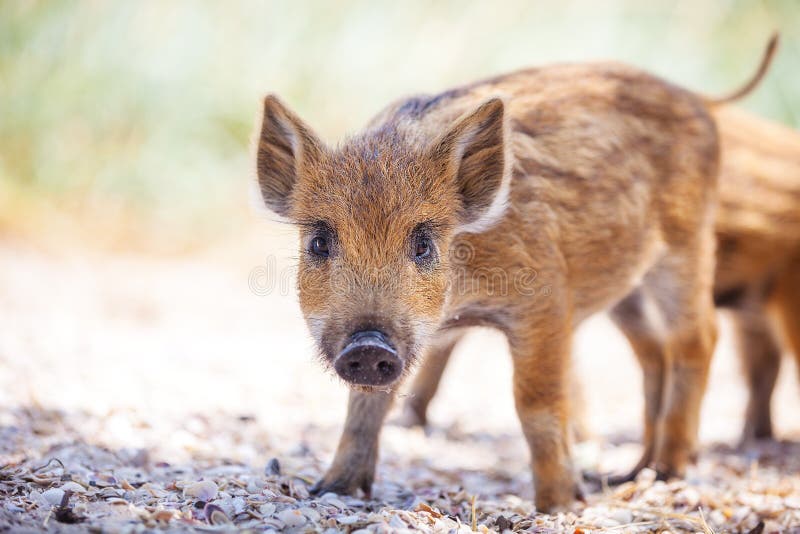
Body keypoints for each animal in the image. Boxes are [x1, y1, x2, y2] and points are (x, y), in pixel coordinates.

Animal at [254, 37, 775, 511]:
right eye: (319, 242)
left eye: (423, 243)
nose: (367, 346)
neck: (461, 301)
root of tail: (695, 97)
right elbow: (366, 403)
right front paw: (329, 490)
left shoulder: (545, 301)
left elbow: (535, 405)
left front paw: (559, 505)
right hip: (628, 288)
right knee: (653, 351)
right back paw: (631, 473)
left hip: (688, 247)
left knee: (698, 338)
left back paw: (664, 474)